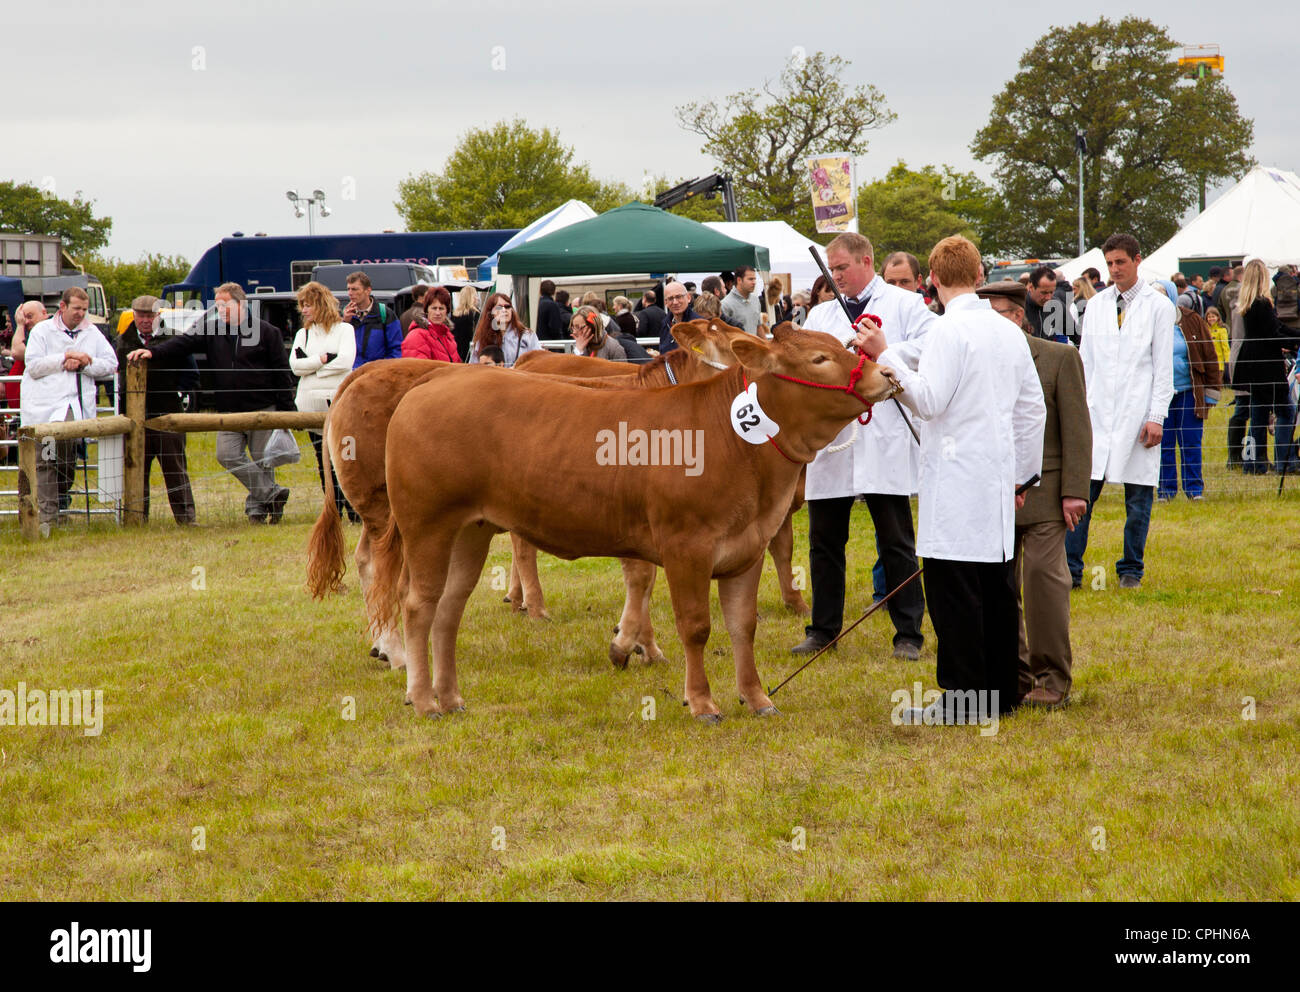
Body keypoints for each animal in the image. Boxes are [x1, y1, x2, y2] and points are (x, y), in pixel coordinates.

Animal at [367, 323, 901, 722]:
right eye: (819, 359)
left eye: (846, 345)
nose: (886, 372)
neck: (737, 442)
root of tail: (434, 382)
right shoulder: (687, 546)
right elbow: (696, 626)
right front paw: (701, 702)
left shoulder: (746, 548)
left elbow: (742, 626)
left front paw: (757, 698)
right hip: (427, 525)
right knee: (418, 605)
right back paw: (423, 698)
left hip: (470, 531)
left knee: (449, 608)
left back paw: (452, 697)